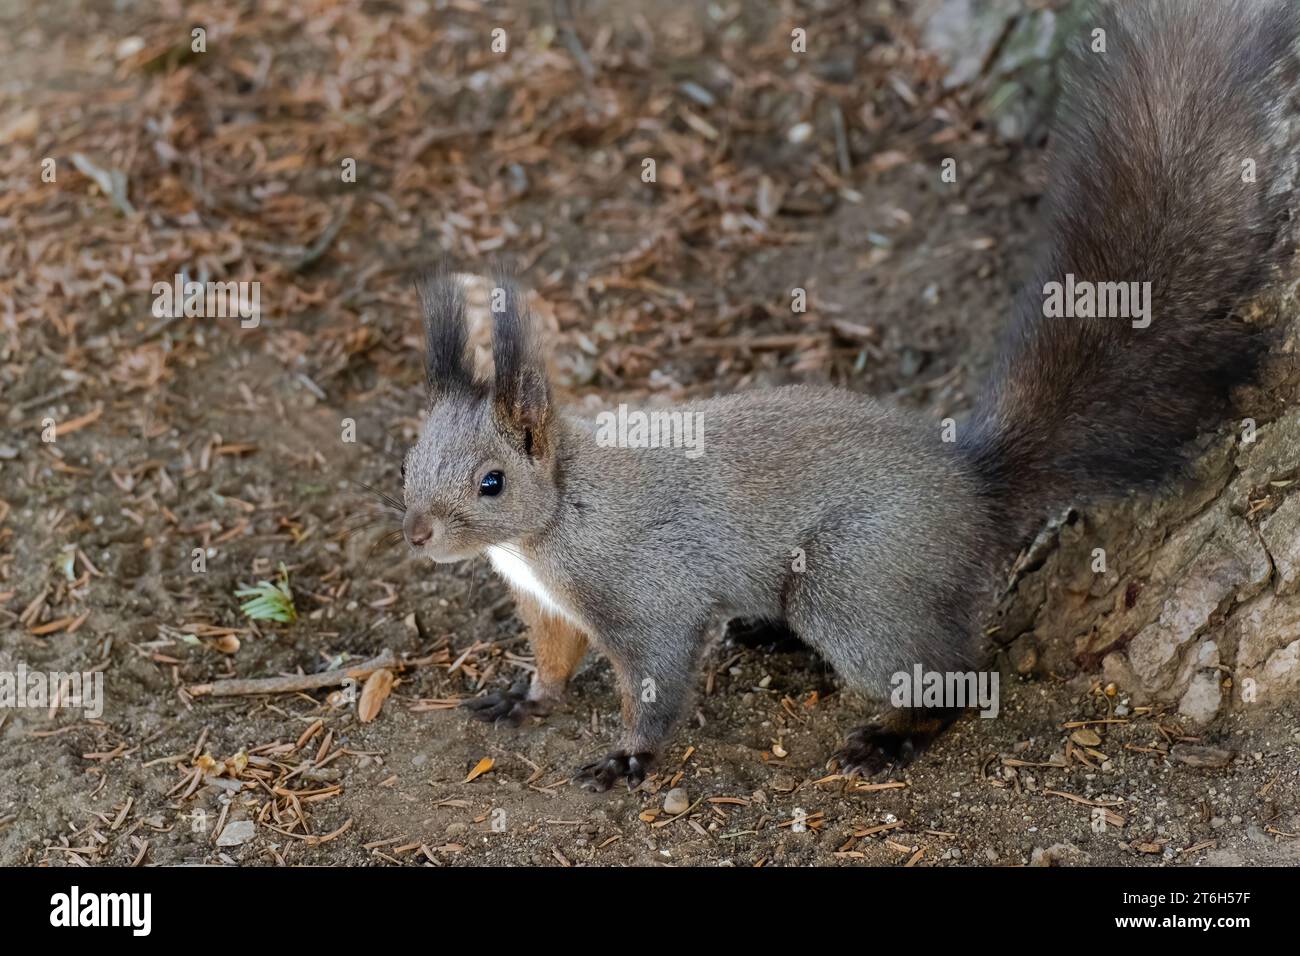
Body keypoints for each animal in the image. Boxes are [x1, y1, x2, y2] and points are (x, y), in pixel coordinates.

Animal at [400, 0, 1297, 792]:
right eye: (408, 462)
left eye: (492, 482)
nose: (415, 535)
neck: (552, 520)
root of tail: (972, 488)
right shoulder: (548, 605)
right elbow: (554, 659)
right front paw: (526, 698)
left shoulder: (646, 590)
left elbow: (657, 675)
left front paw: (628, 757)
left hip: (856, 579)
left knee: (952, 672)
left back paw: (893, 736)